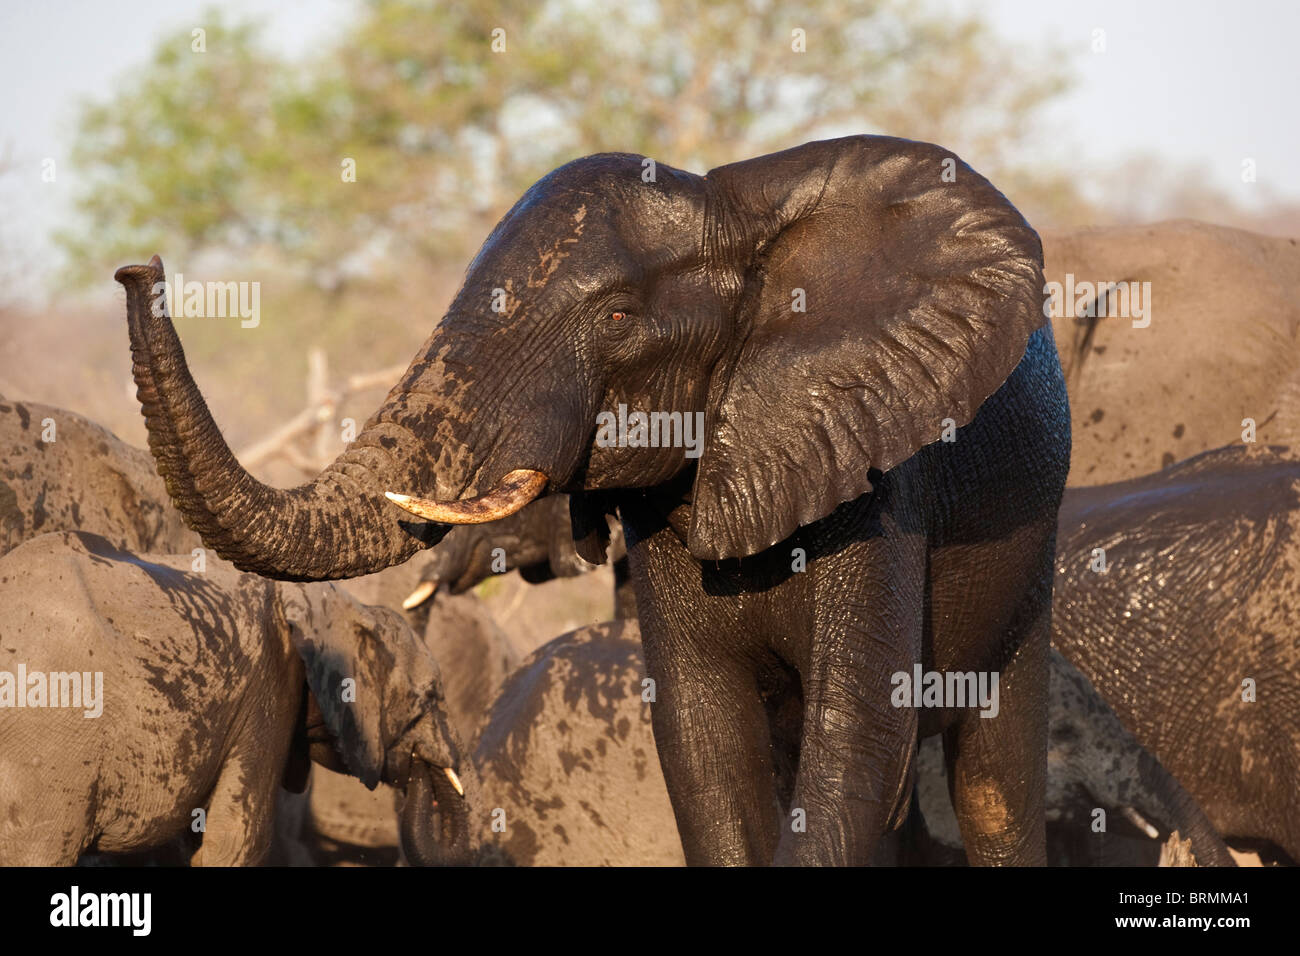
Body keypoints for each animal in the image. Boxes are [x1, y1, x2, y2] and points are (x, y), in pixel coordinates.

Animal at [0, 530, 472, 866]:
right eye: (431, 695)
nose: (422, 767)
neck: (339, 602)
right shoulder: (270, 686)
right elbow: (237, 841)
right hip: (53, 746)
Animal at [116, 134, 1072, 865]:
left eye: (615, 320)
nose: (138, 266)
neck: (733, 212)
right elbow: (703, 744)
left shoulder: (875, 476)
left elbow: (860, 739)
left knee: (993, 784)